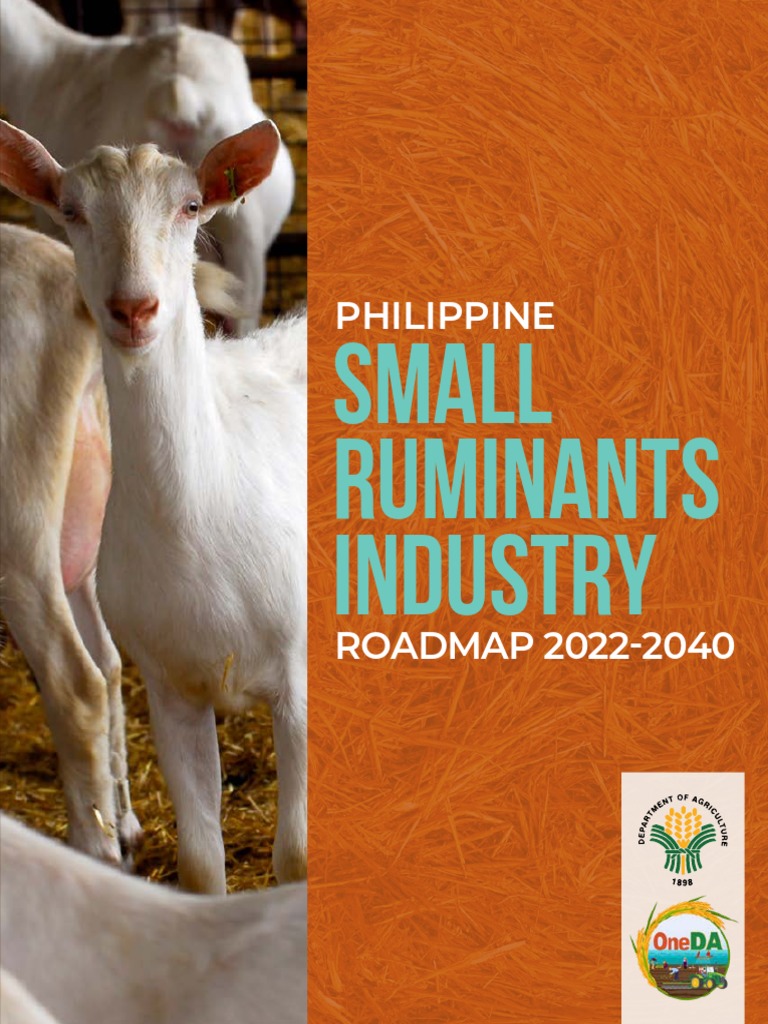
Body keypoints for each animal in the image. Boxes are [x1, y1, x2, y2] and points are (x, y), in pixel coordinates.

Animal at [0, 223, 246, 868]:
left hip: (18, 516)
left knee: (76, 680)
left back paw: (96, 848)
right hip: (82, 514)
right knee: (108, 663)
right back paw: (127, 824)